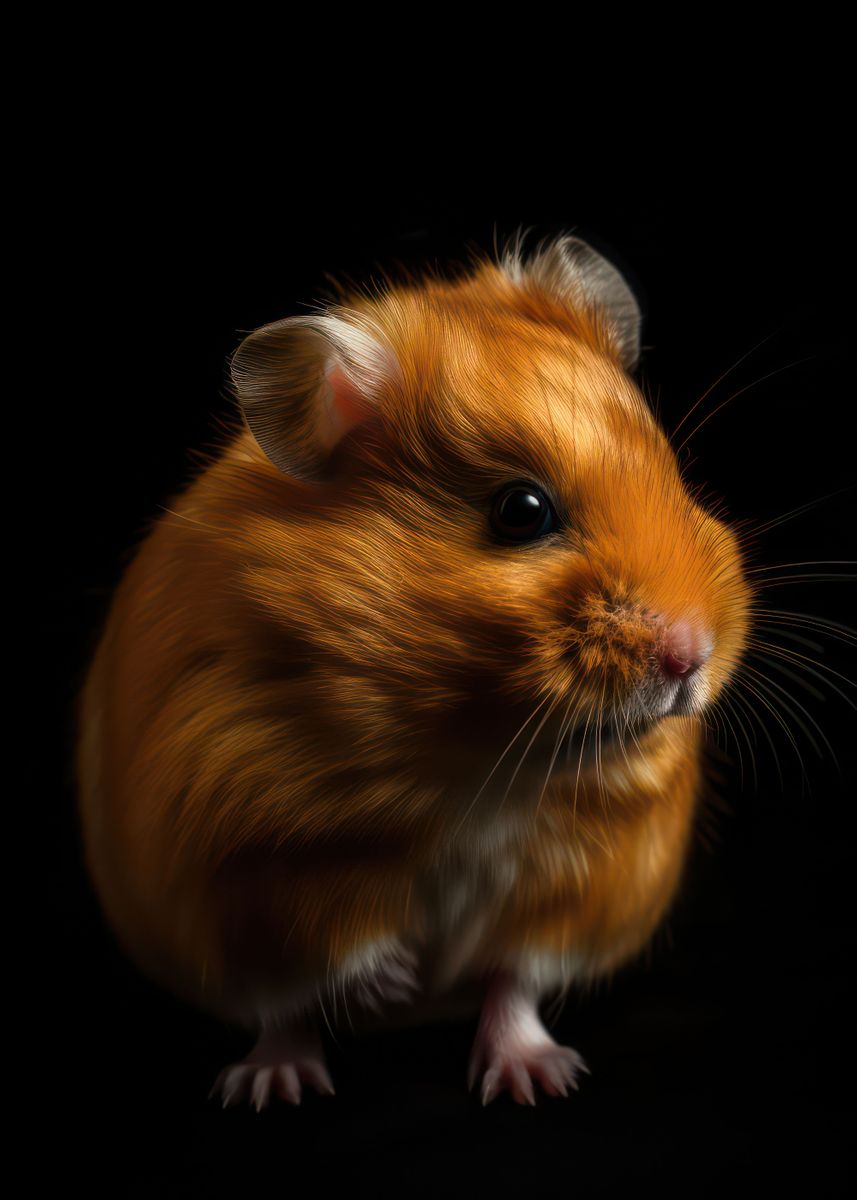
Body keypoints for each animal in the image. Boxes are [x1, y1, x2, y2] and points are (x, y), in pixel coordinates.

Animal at [75, 233, 751, 1108]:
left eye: (671, 473)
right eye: (521, 511)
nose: (690, 655)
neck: (480, 764)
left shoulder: (585, 874)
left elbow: (518, 967)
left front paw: (518, 1064)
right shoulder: (258, 851)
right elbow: (336, 942)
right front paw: (391, 980)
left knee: (504, 994)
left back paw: (535, 1078)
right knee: (280, 1013)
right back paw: (277, 1084)